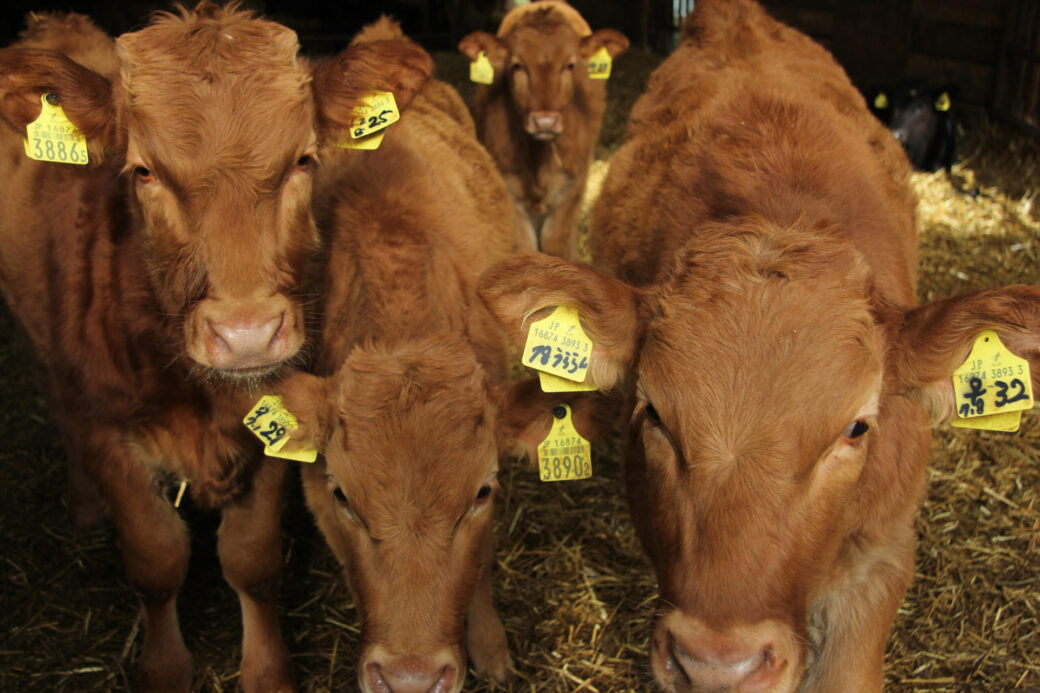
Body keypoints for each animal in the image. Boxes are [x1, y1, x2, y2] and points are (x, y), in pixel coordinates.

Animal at [0, 5, 432, 691]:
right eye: (143, 171)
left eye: (304, 160)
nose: (247, 333)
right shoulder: (110, 433)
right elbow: (156, 561)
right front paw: (165, 668)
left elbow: (252, 561)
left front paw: (268, 671)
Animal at [458, 0, 628, 260]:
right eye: (517, 66)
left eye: (570, 65)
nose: (545, 122)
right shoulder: (509, 185)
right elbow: (524, 246)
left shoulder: (573, 184)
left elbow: (556, 242)